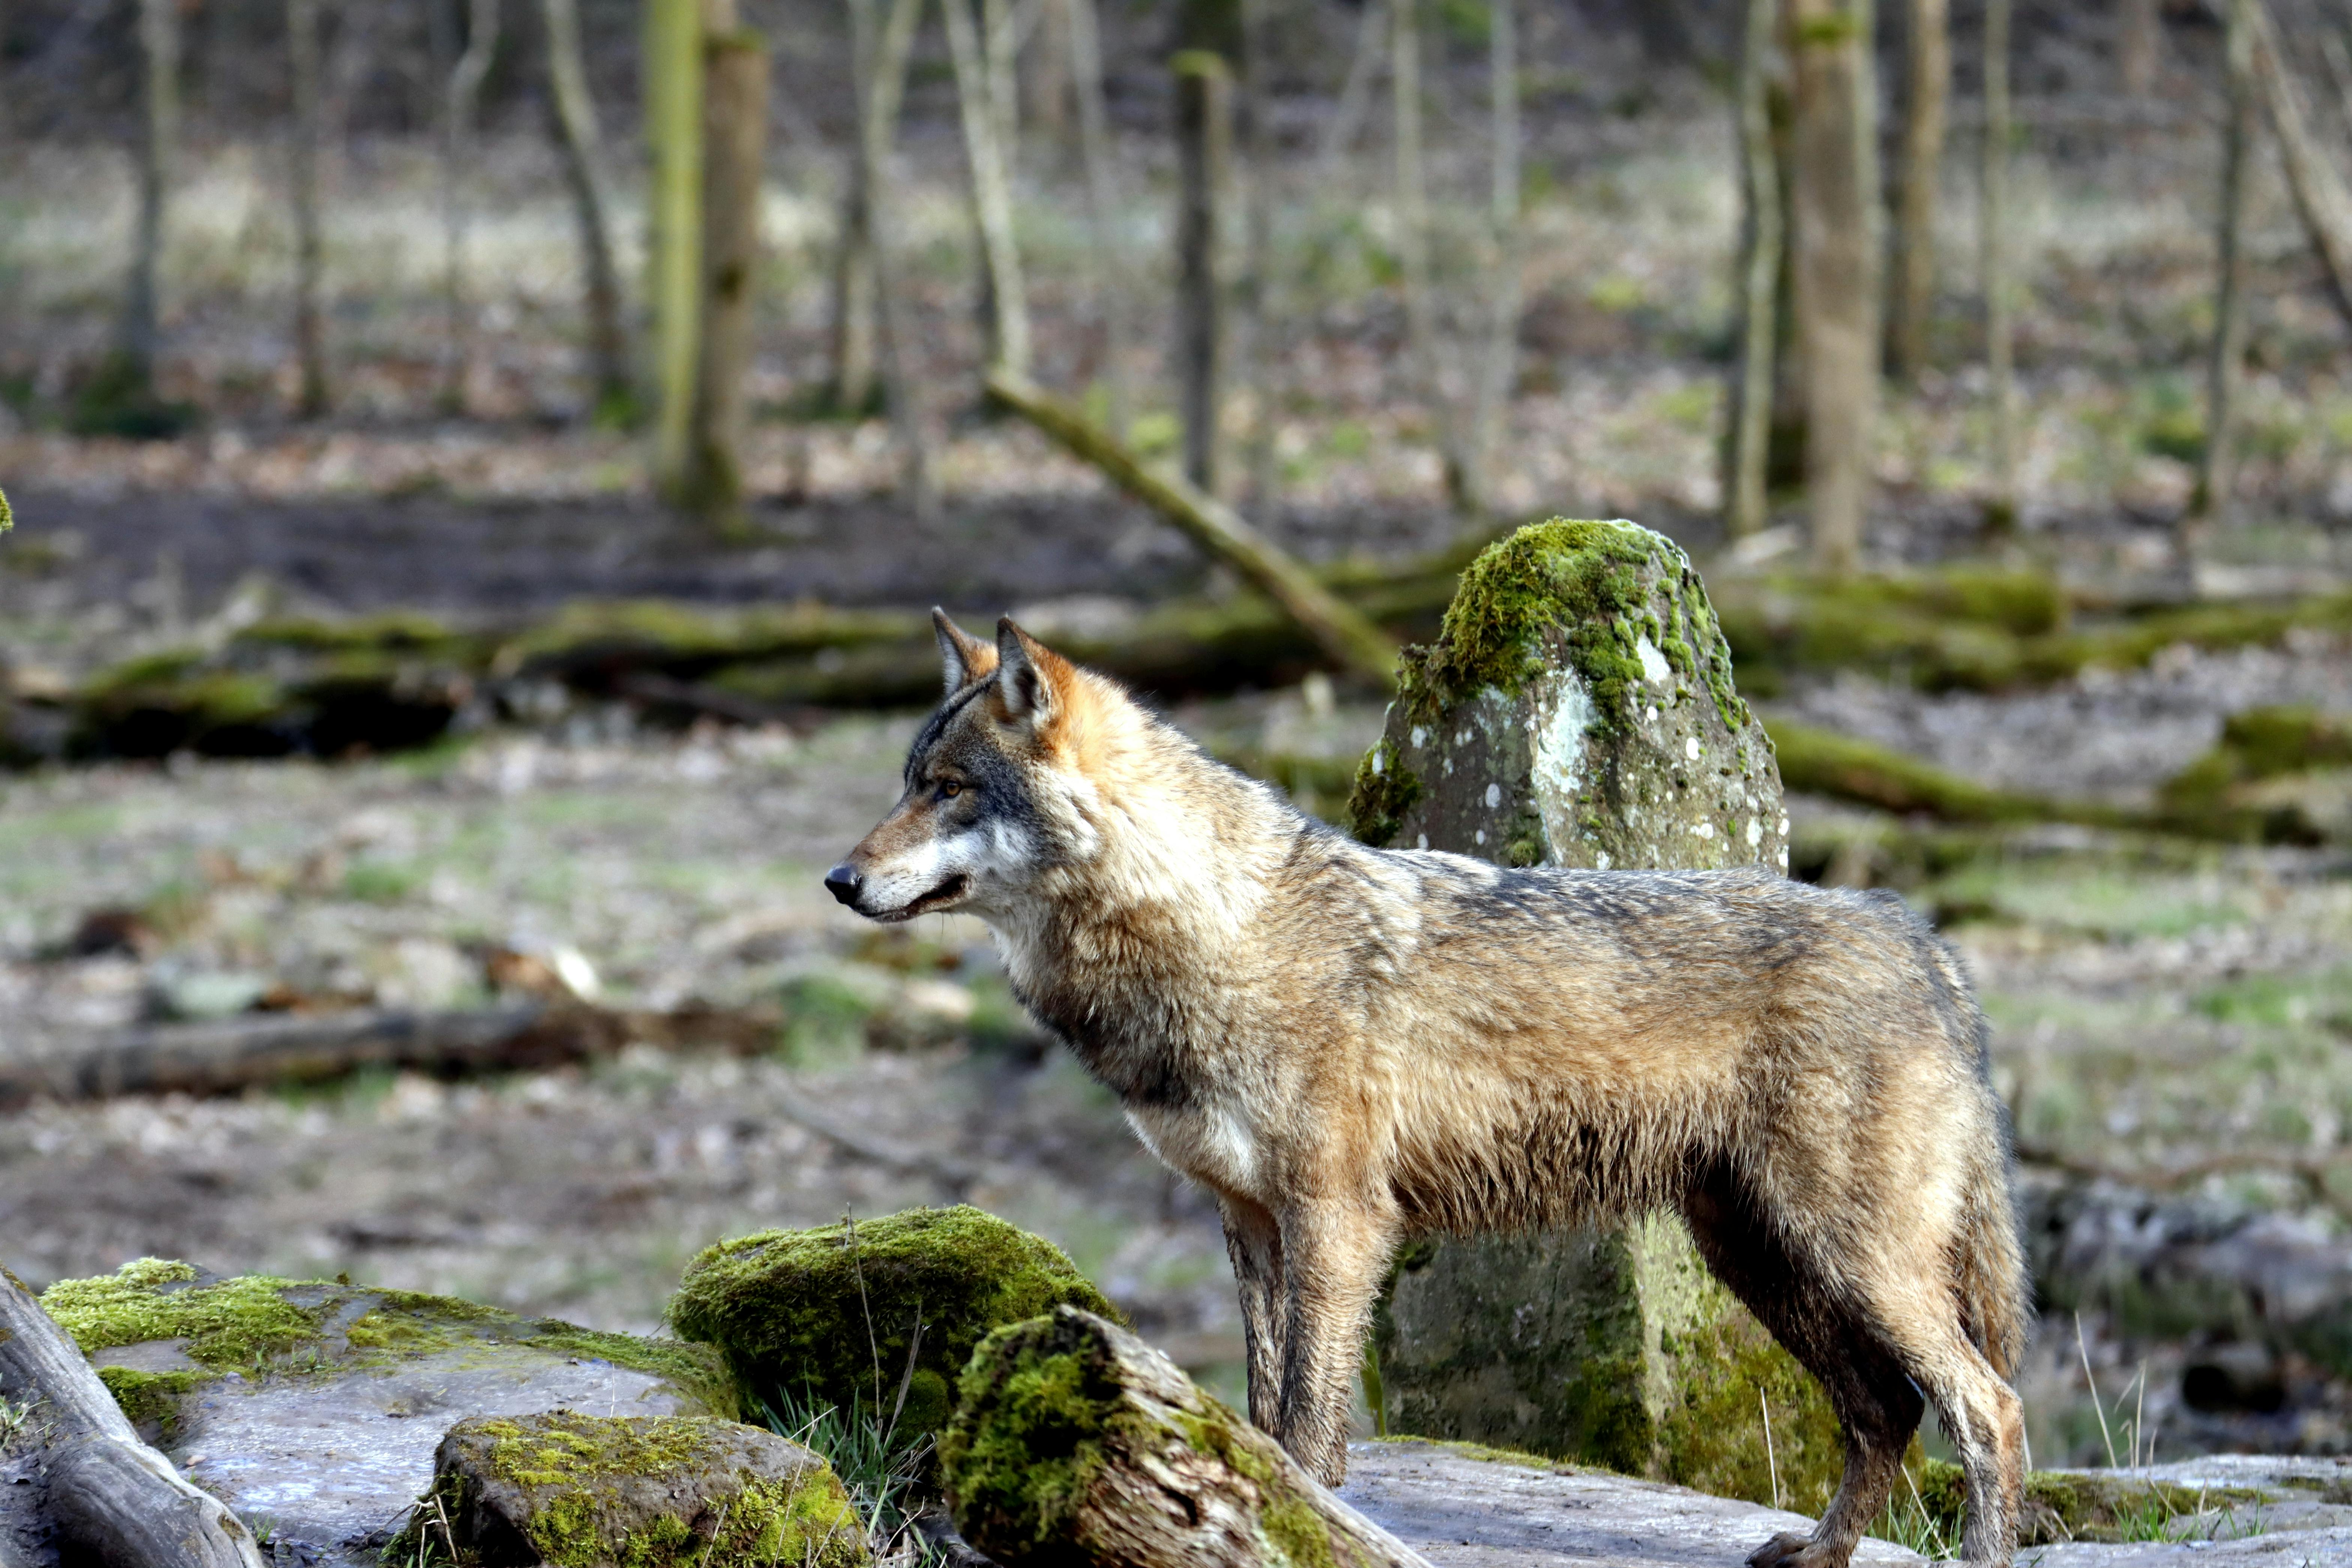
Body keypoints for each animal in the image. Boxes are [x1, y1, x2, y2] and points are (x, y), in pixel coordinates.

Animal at [825, 613, 2030, 1568]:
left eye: (945, 790)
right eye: (903, 782)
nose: (837, 879)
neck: (1213, 929)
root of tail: (1922, 940)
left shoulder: (1337, 1219)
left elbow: (1307, 1420)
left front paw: (1304, 1521)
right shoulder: (1249, 1219)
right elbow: (1262, 1407)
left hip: (1841, 1257)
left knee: (1986, 1408)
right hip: (1764, 1258)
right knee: (1888, 1411)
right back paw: (1816, 1553)